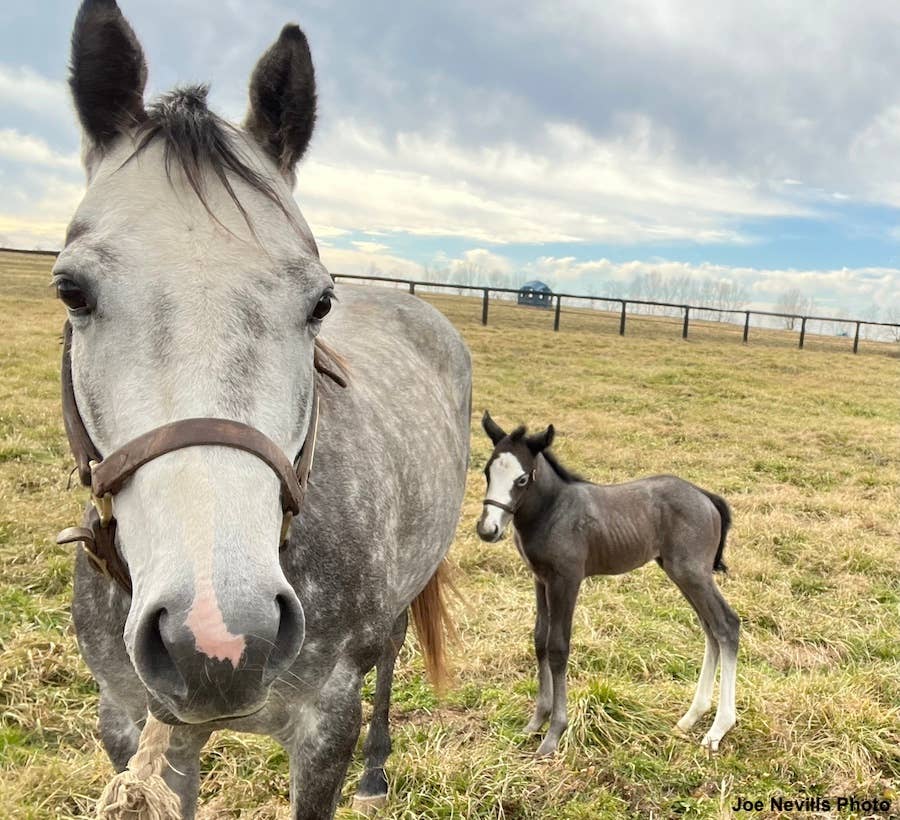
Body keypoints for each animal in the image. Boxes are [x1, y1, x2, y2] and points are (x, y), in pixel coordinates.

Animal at [53, 3, 470, 817]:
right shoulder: (135, 724)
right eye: (71, 292)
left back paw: (378, 771)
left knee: (394, 649)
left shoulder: (325, 724)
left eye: (320, 303)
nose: (217, 639)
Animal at [475, 412, 739, 756]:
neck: (552, 510)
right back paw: (690, 718)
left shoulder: (566, 580)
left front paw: (554, 733)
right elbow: (539, 641)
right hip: (683, 573)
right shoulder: (540, 579)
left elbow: (558, 646)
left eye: (521, 479)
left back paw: (717, 729)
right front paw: (535, 722)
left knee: (727, 625)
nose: (487, 529)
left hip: (693, 572)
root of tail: (706, 496)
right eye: (486, 471)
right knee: (710, 629)